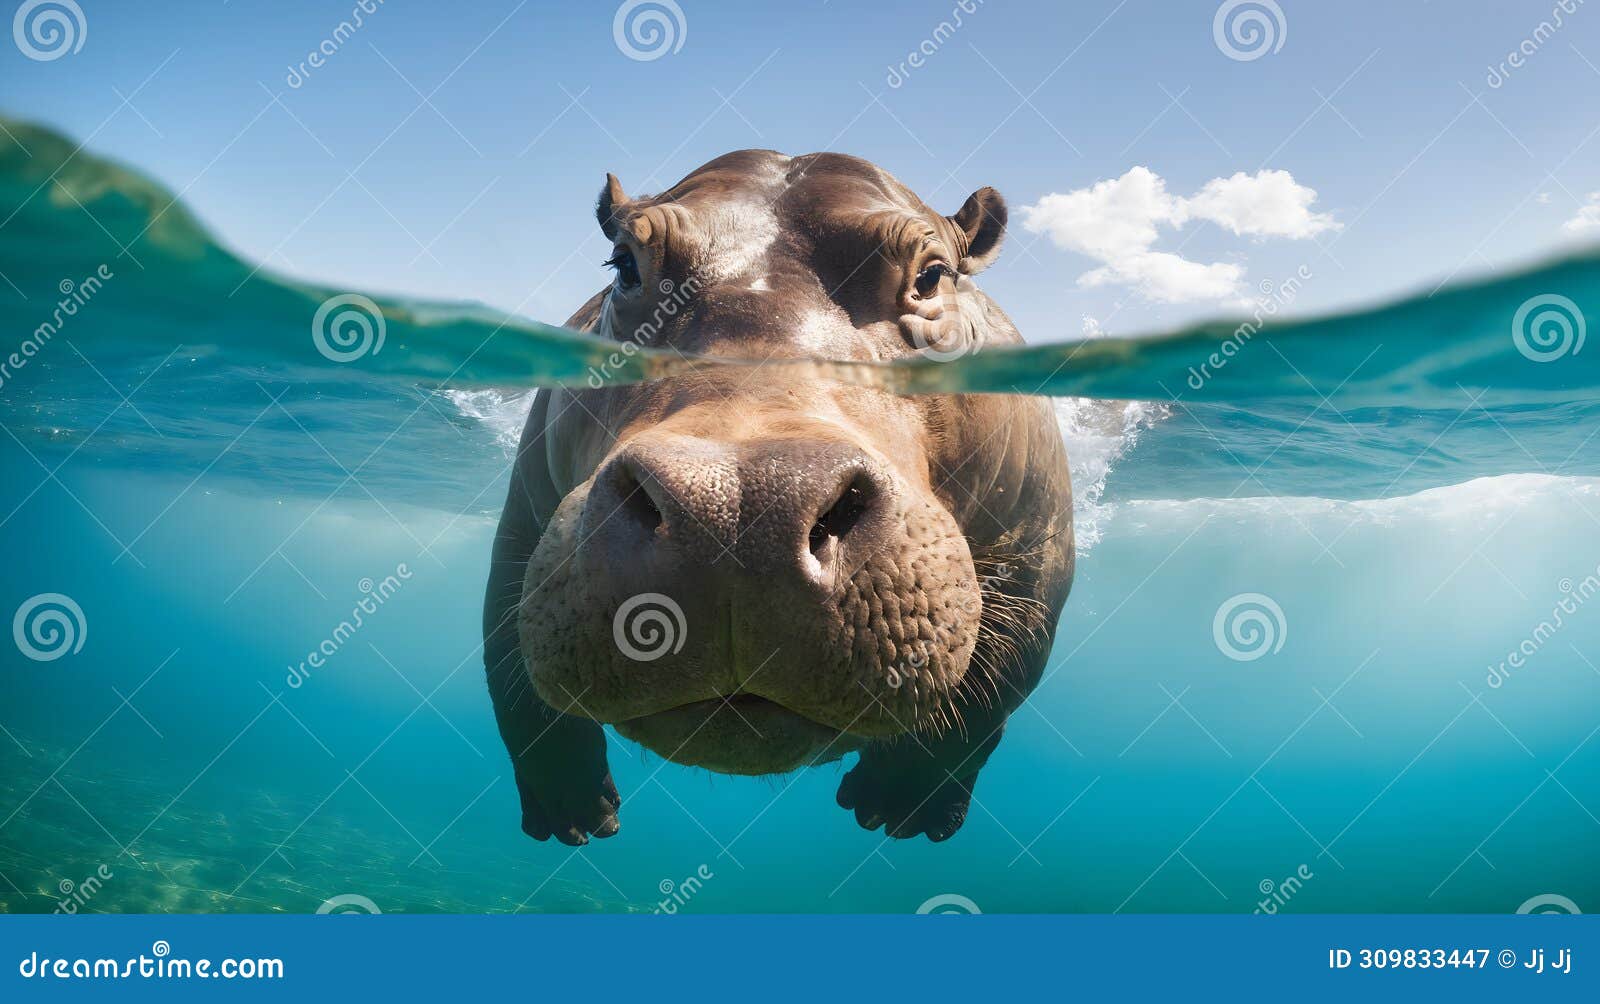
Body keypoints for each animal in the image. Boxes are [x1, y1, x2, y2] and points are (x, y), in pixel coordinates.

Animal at [483, 150, 1073, 844]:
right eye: (624, 264)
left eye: (933, 276)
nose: (736, 507)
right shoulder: (521, 532)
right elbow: (514, 680)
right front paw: (571, 816)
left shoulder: (1038, 559)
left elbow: (987, 698)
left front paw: (898, 808)